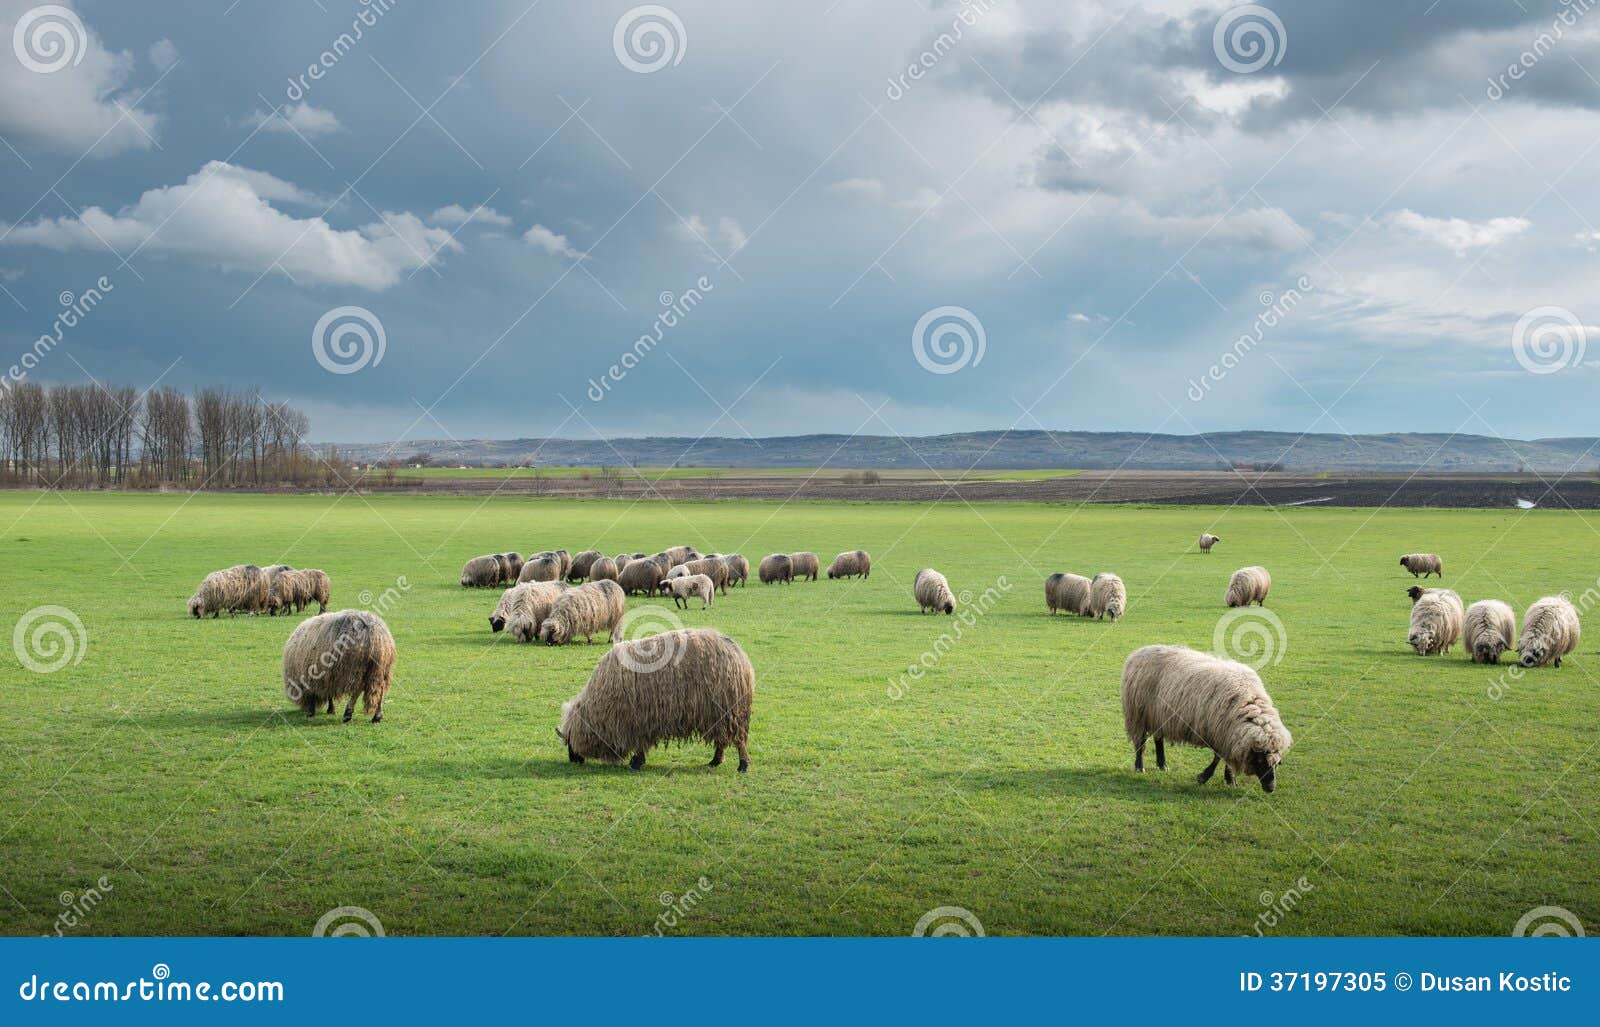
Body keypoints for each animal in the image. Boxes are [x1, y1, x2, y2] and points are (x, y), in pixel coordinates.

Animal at [558, 628, 754, 772]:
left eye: (569, 741)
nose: (573, 760)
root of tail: (739, 654)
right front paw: (638, 761)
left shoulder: (636, 722)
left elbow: (639, 745)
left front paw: (636, 763)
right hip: (719, 715)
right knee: (722, 740)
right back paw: (715, 761)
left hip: (730, 710)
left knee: (739, 740)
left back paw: (743, 765)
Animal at [1121, 645, 1291, 792]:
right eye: (1261, 760)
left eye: (1278, 763)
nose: (1271, 788)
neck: (1248, 704)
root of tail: (1140, 651)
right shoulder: (1221, 733)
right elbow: (1217, 758)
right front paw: (1204, 777)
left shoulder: (1228, 736)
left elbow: (1225, 760)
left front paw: (1230, 779)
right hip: (1138, 714)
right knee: (1140, 741)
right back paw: (1139, 766)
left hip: (1159, 715)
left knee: (1158, 739)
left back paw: (1162, 764)